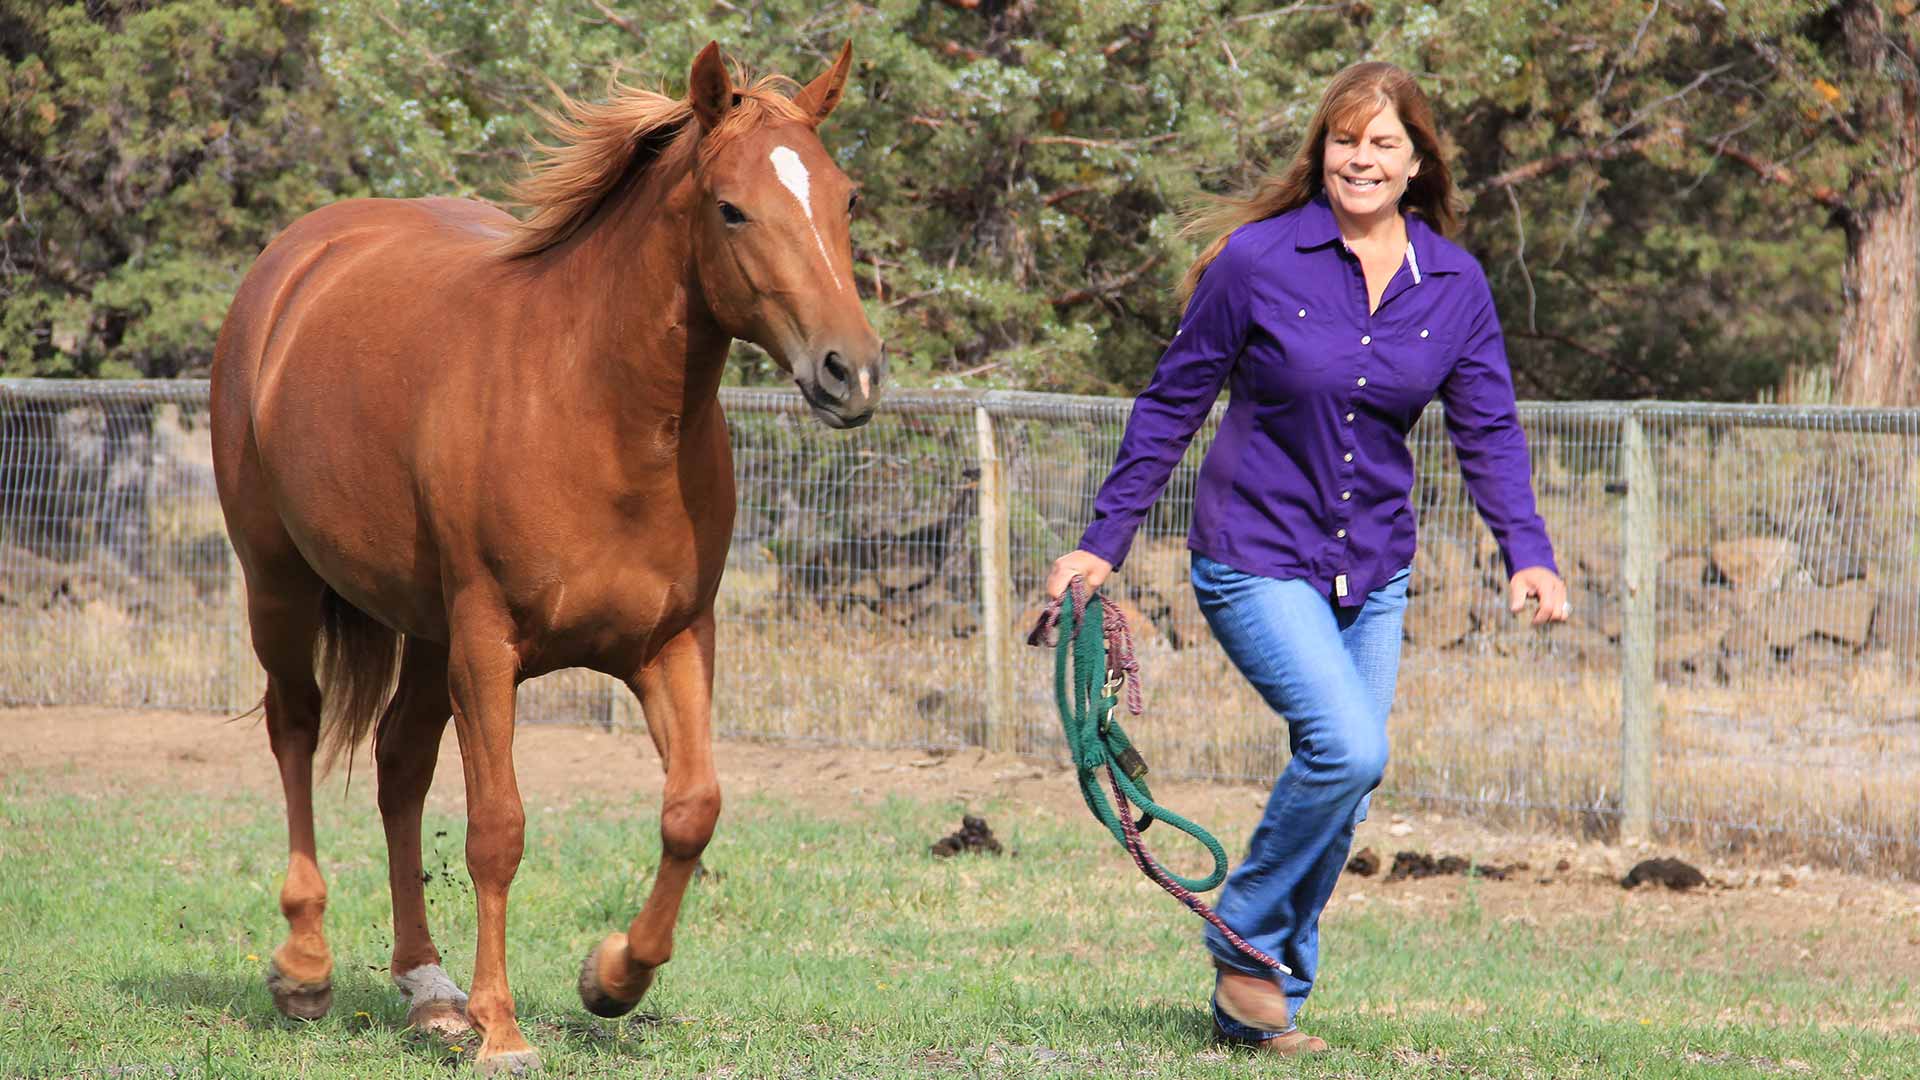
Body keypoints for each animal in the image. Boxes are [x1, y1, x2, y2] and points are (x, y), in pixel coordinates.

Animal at [209, 42, 882, 1074]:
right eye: (731, 208)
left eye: (845, 198)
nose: (851, 372)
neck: (595, 411)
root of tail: (292, 265)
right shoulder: (490, 648)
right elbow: (498, 830)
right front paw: (505, 1030)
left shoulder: (672, 644)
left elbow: (692, 809)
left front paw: (611, 979)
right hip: (281, 586)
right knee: (297, 729)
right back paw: (308, 968)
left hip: (426, 633)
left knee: (399, 764)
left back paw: (429, 992)